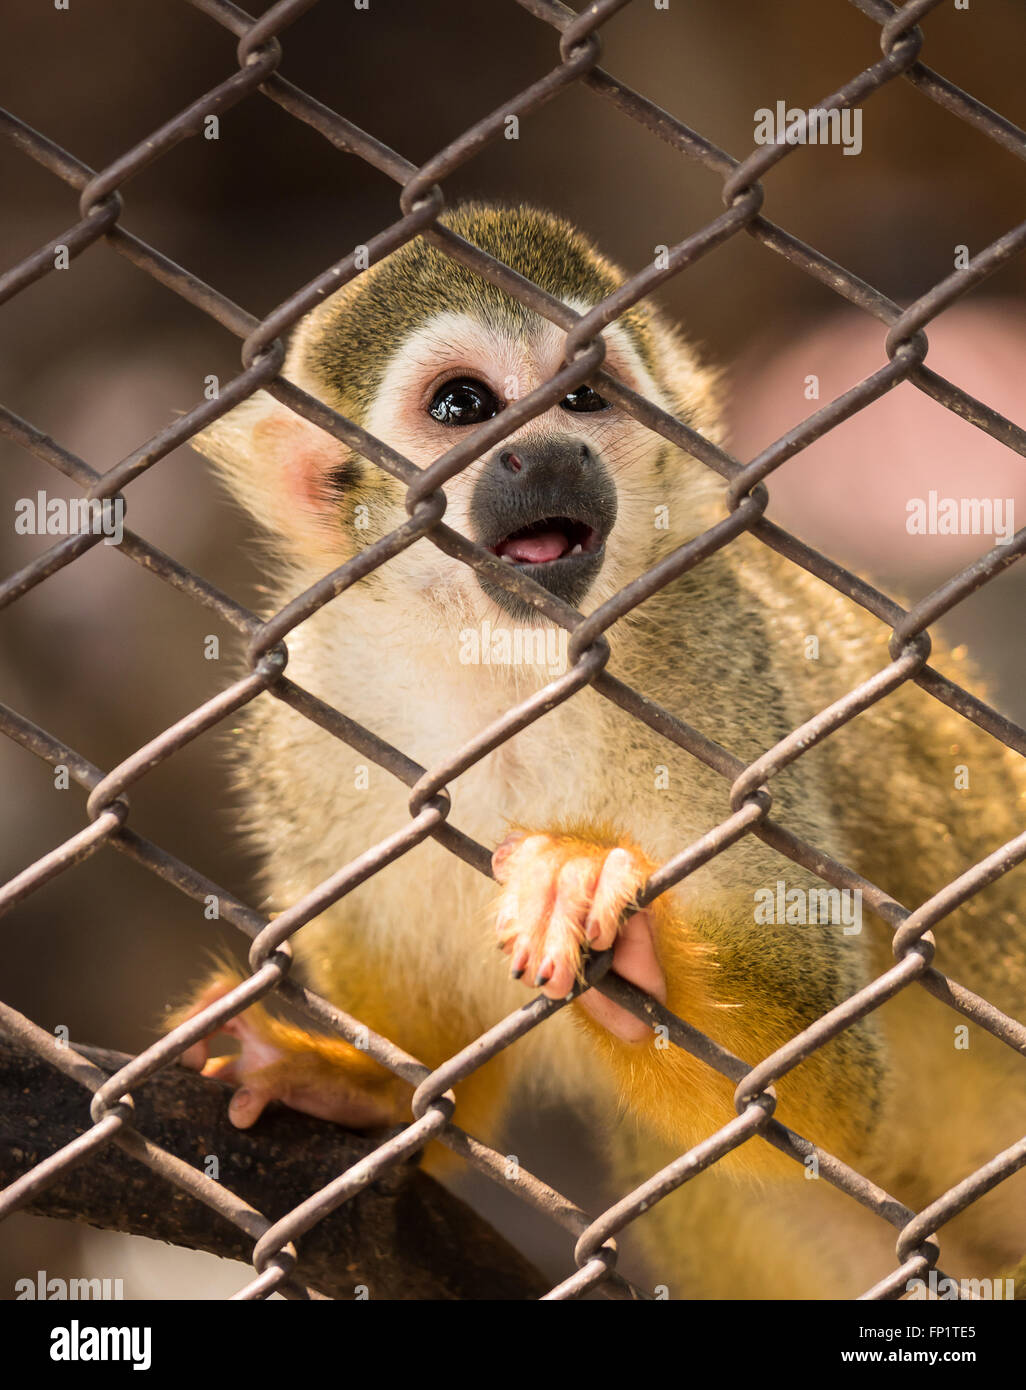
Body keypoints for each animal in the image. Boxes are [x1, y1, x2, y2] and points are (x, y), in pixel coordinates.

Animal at [170, 202, 1026, 1300]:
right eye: (461, 404)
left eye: (584, 396)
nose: (551, 455)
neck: (510, 663)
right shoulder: (315, 704)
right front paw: (356, 1087)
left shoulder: (718, 672)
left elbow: (818, 1099)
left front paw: (606, 919)